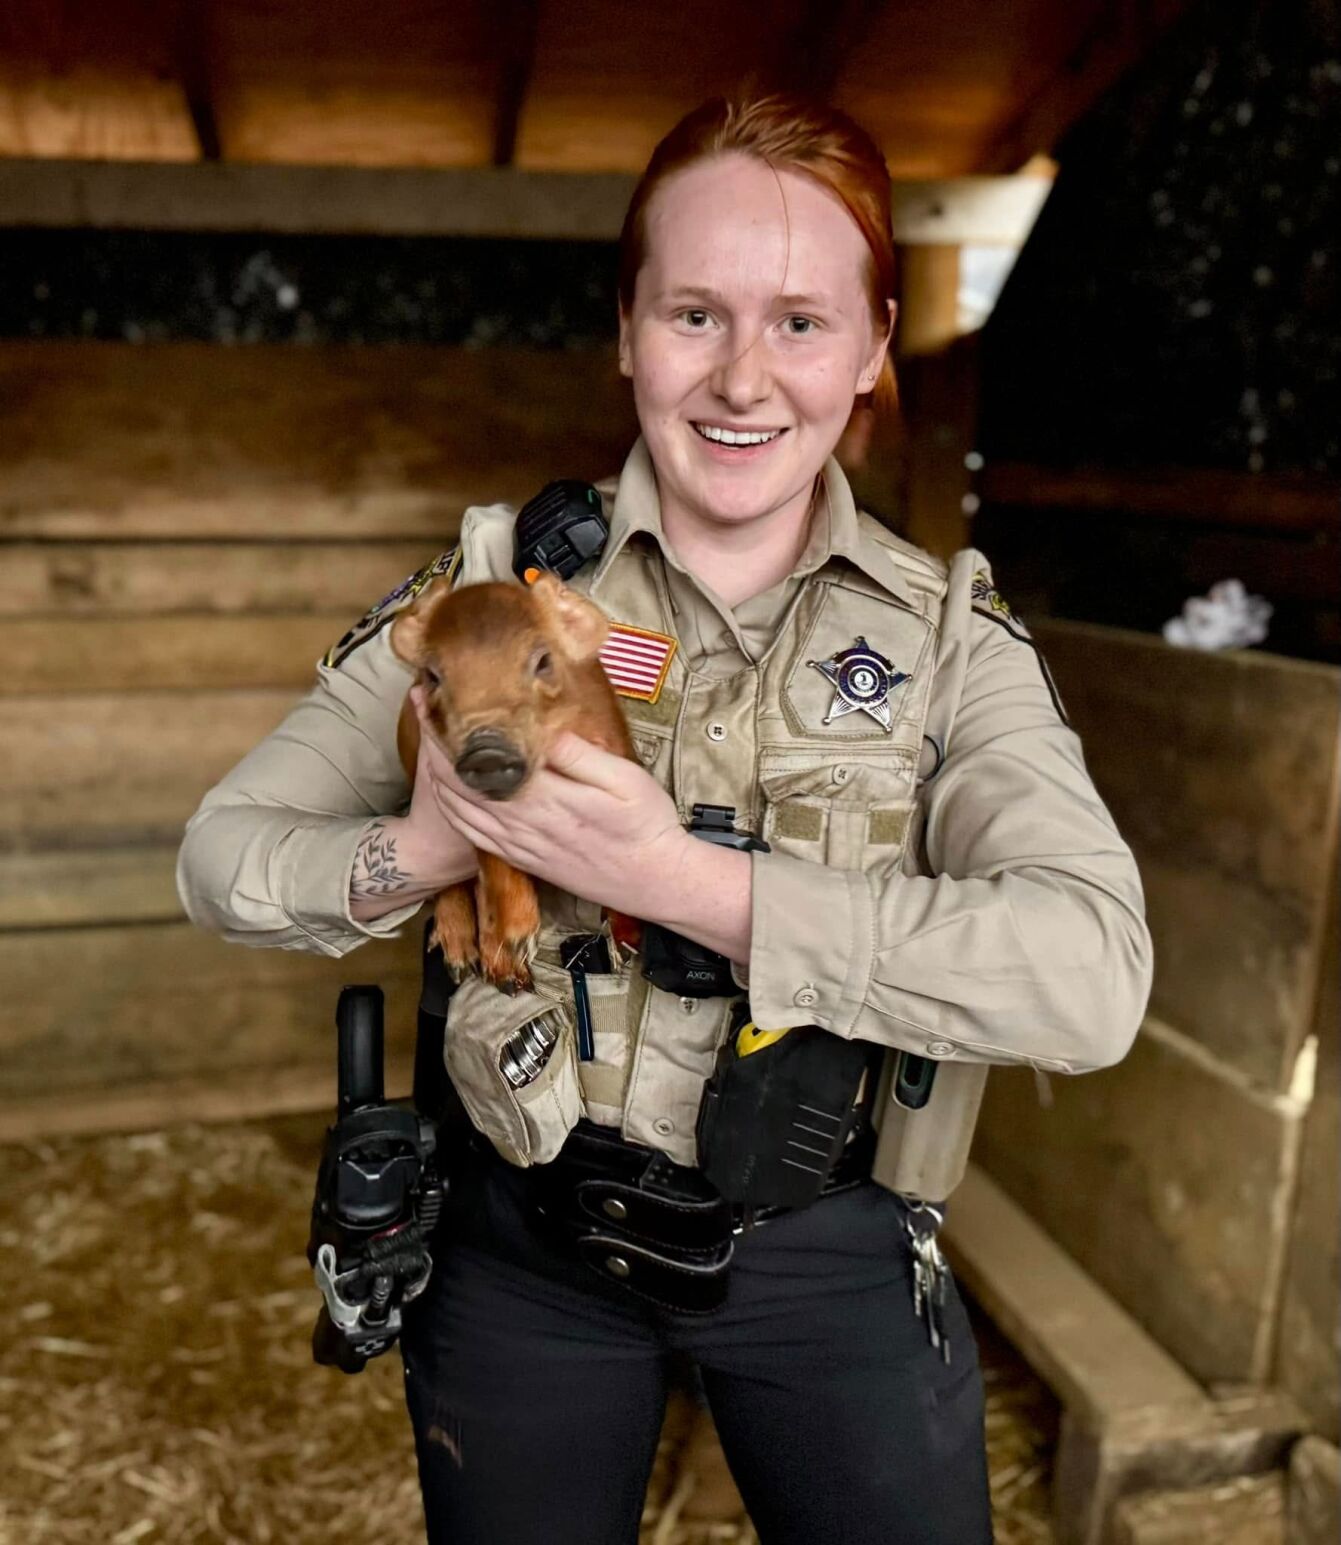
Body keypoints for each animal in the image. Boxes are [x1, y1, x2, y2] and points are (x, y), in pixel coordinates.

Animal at [389, 572, 638, 991]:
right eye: (433, 676)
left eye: (544, 661)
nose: (486, 749)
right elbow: (494, 859)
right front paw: (520, 946)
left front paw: (627, 946)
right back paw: (483, 971)